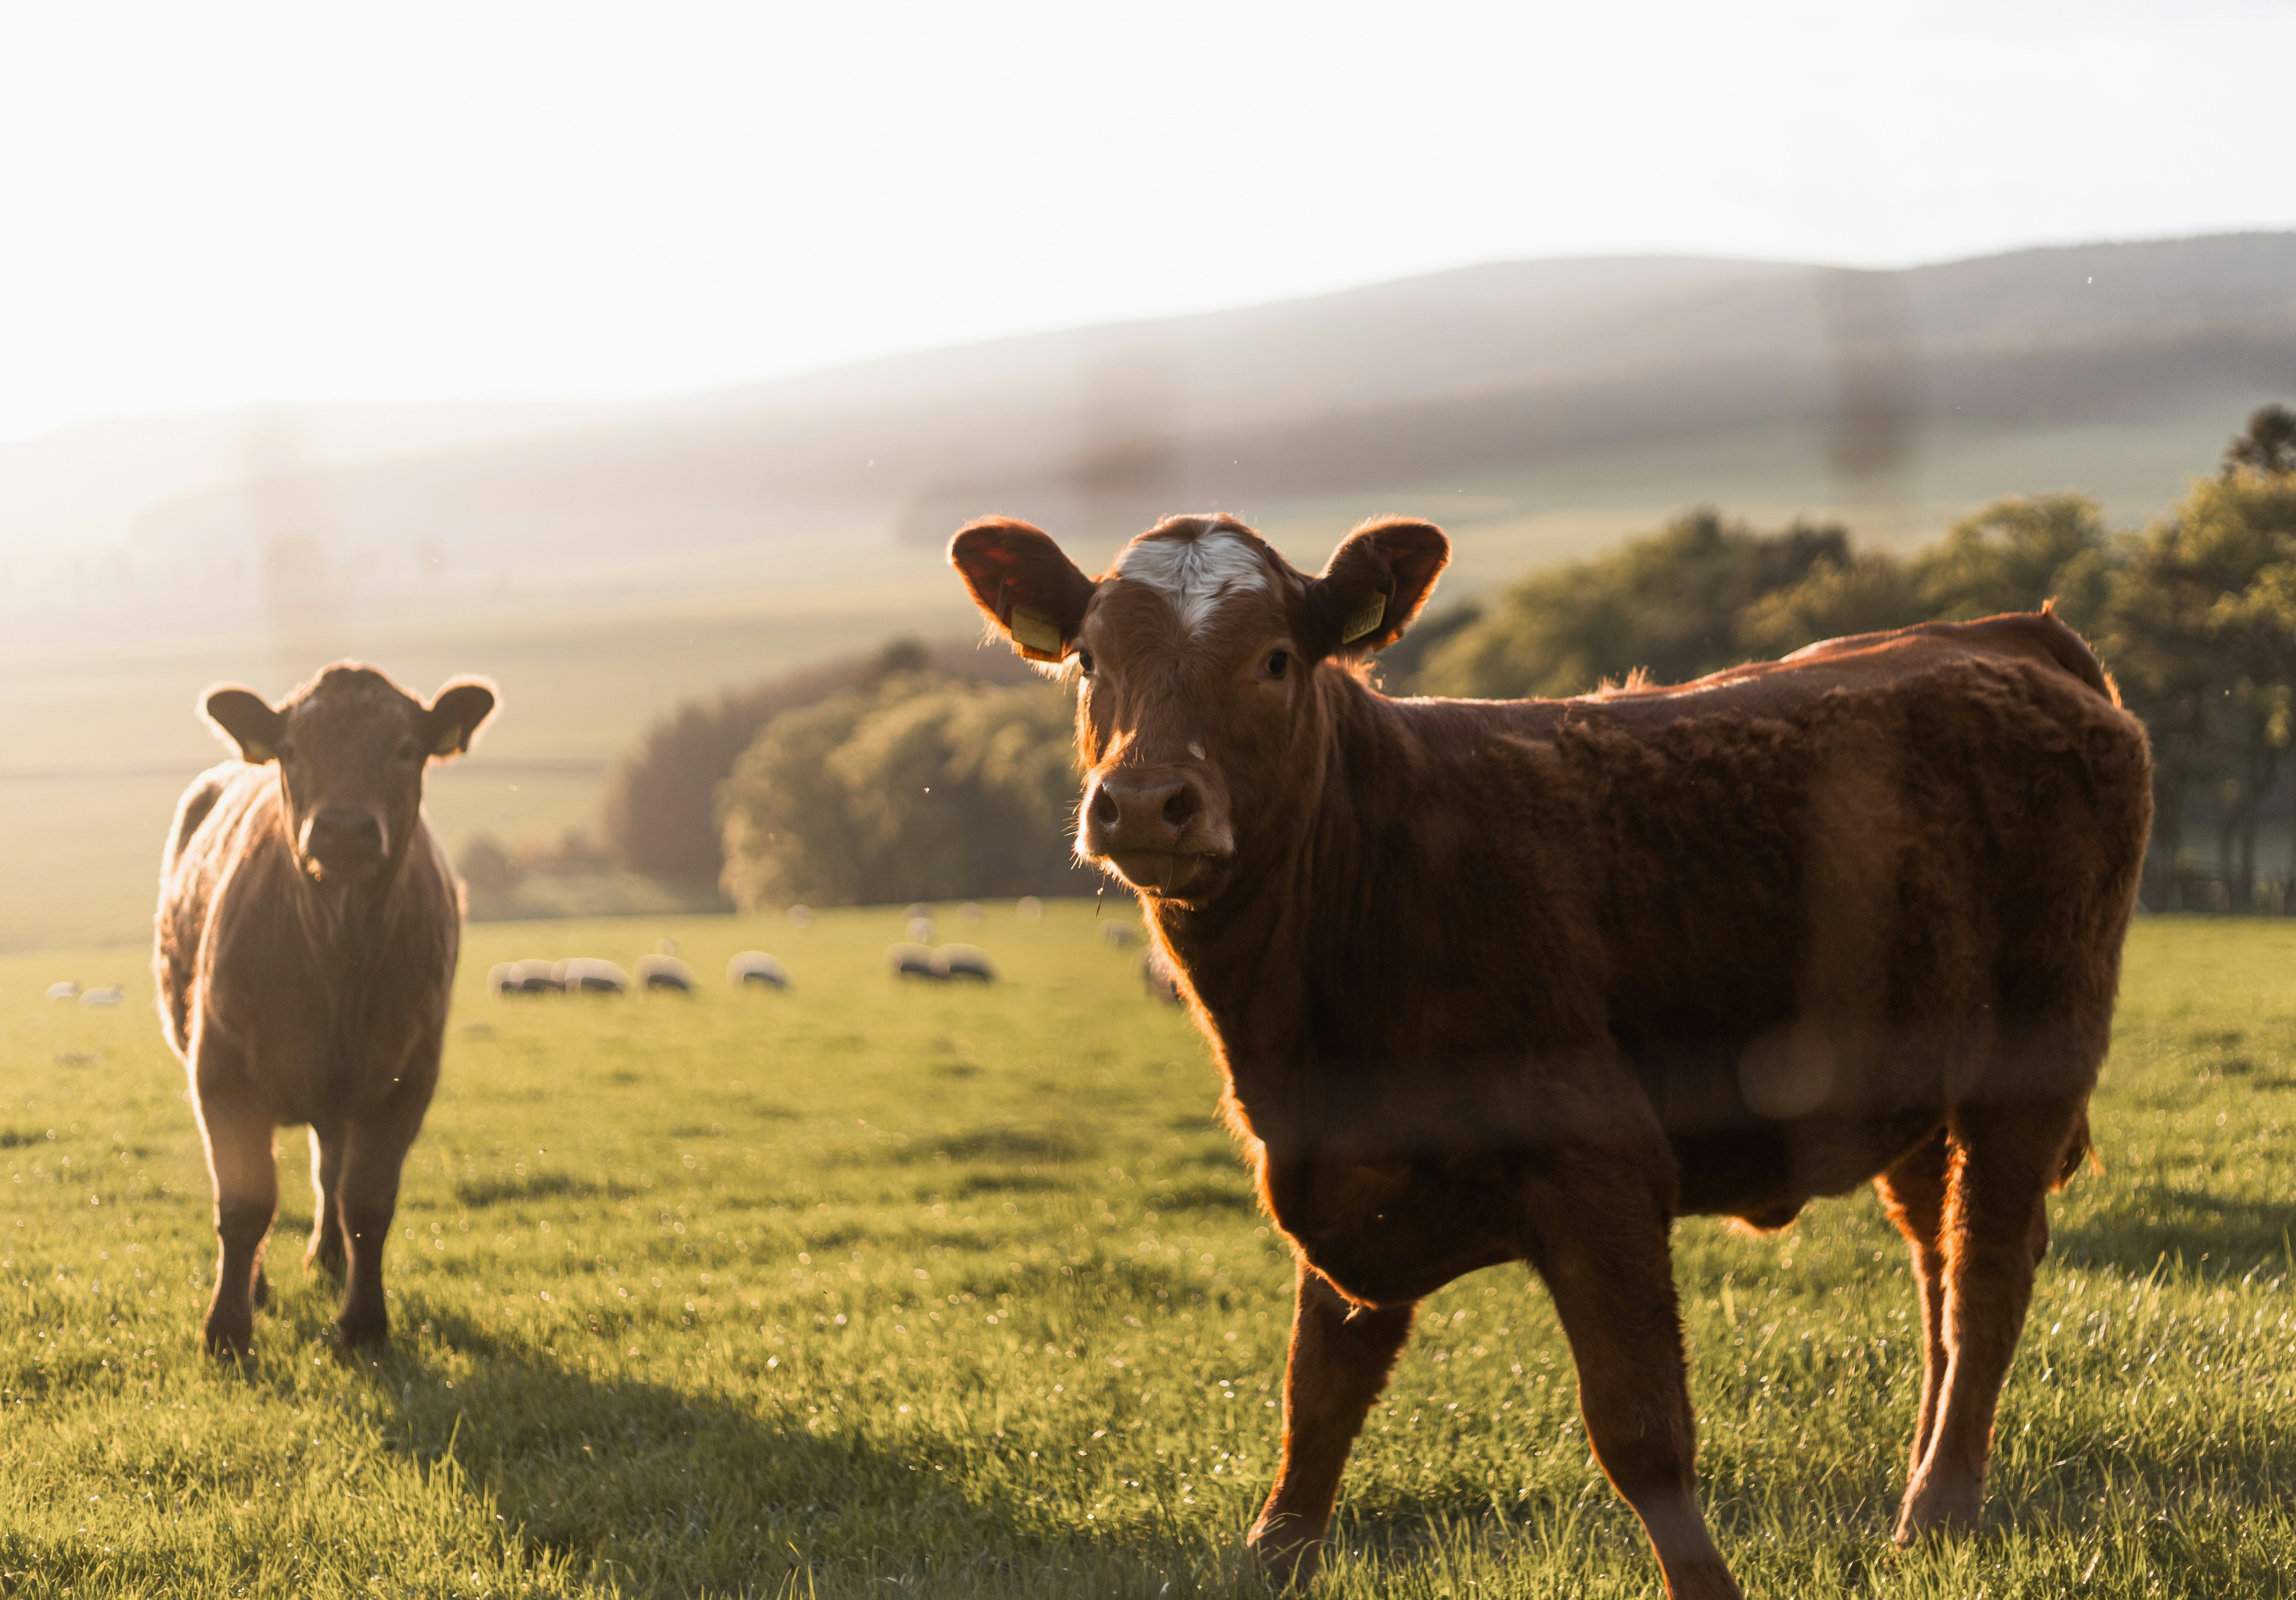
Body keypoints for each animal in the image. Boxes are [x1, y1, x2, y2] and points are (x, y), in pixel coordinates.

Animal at [154, 662, 496, 1356]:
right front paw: (228, 1327)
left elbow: (367, 1202)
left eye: (406, 750)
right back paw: (259, 1284)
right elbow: (244, 1202)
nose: (342, 830)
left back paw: (331, 1257)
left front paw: (364, 1322)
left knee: (332, 1168)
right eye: (292, 751)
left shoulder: (408, 1074)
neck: (339, 950)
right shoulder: (218, 1067)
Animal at [950, 511, 2151, 1600]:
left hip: (2037, 1047)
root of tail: (2005, 633)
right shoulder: (1344, 1171)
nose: (1148, 802)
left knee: (1988, 1266)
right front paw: (1271, 1558)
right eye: (1090, 659)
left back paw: (1935, 1514)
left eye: (1276, 658)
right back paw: (1931, 1477)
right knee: (1939, 1264)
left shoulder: (1597, 1162)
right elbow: (1315, 1403)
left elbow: (1641, 1429)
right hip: (1911, 1087)